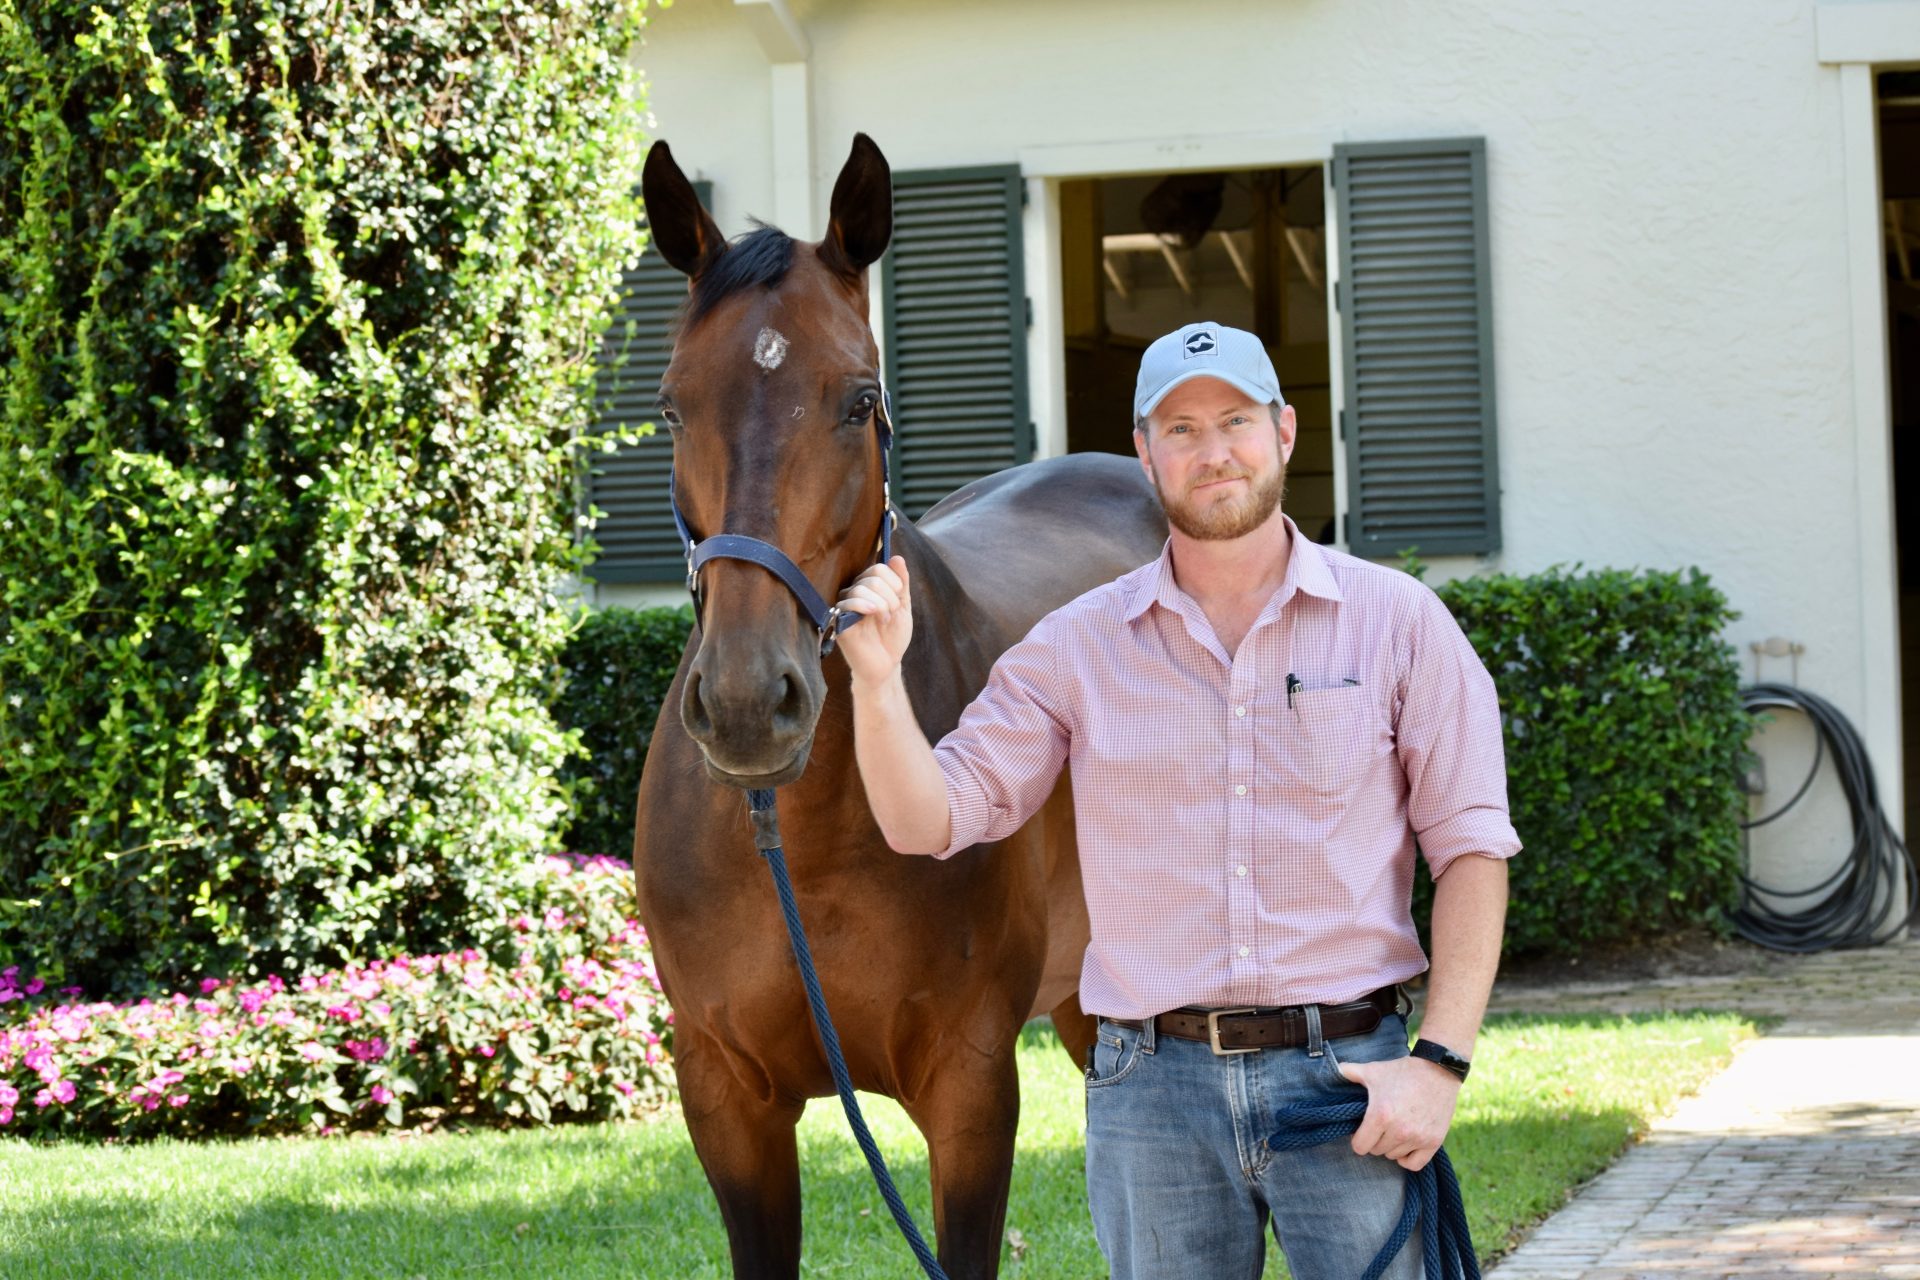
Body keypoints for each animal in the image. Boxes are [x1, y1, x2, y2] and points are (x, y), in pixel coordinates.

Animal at [631, 133, 1168, 1279]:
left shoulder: (970, 1090)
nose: (748, 702)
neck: (801, 835)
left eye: (859, 399)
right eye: (671, 404)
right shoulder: (726, 1097)